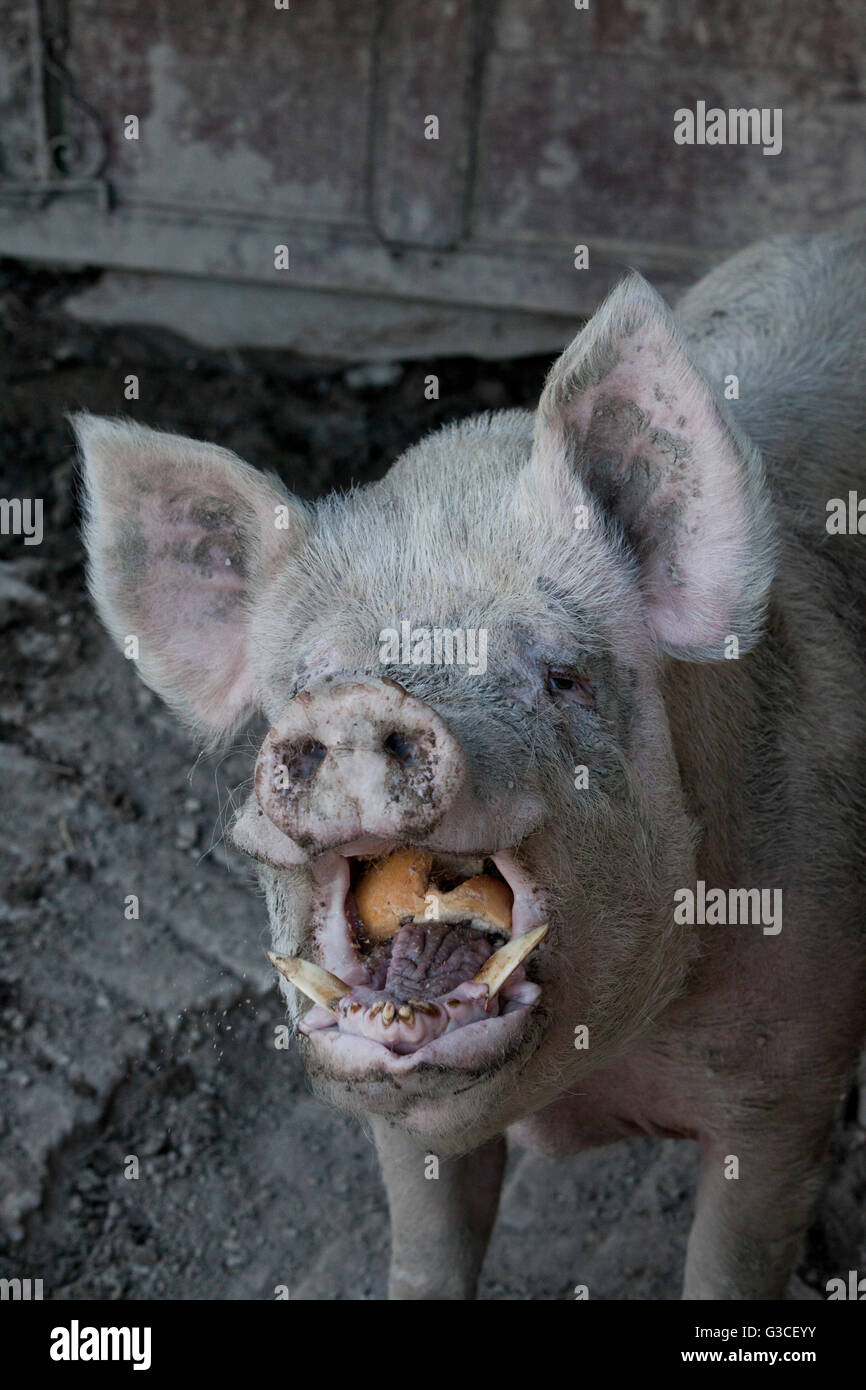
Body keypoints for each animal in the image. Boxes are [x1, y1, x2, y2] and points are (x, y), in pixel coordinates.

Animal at [76, 230, 866, 1300]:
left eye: (561, 676)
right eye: (306, 681)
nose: (357, 704)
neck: (586, 1097)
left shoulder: (789, 1094)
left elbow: (732, 1264)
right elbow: (429, 1252)